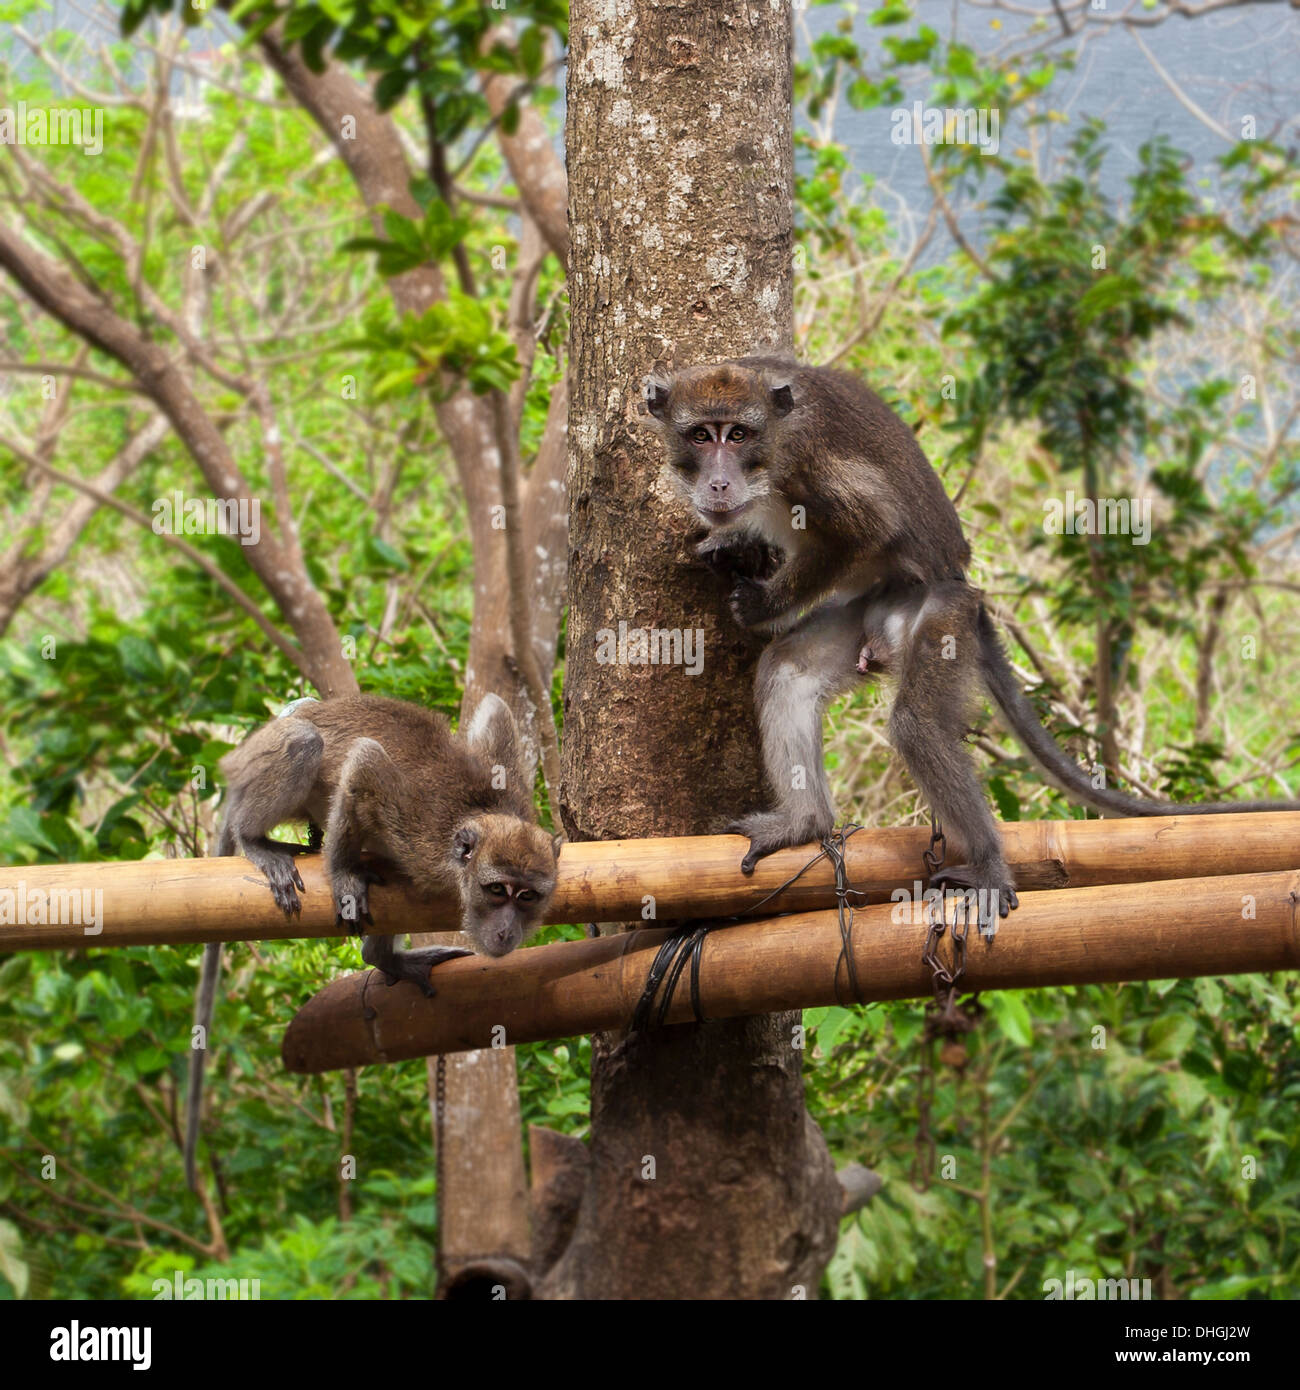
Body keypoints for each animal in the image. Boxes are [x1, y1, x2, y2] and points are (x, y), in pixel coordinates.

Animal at [183, 691, 559, 1190]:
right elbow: (364, 764)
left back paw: (385, 958)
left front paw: (383, 955)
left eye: (527, 897)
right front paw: (343, 872)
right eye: (497, 891)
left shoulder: (509, 791)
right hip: (250, 762)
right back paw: (254, 835)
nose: (506, 931)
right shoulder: (419, 830)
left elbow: (497, 707)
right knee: (305, 741)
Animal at [646, 357, 1300, 924]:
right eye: (701, 436)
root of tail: (955, 585)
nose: (720, 483)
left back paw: (986, 864)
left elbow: (869, 526)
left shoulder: (808, 464)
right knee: (788, 671)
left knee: (917, 723)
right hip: (868, 613)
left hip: (944, 619)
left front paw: (761, 602)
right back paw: (805, 823)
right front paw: (731, 545)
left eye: (739, 434)